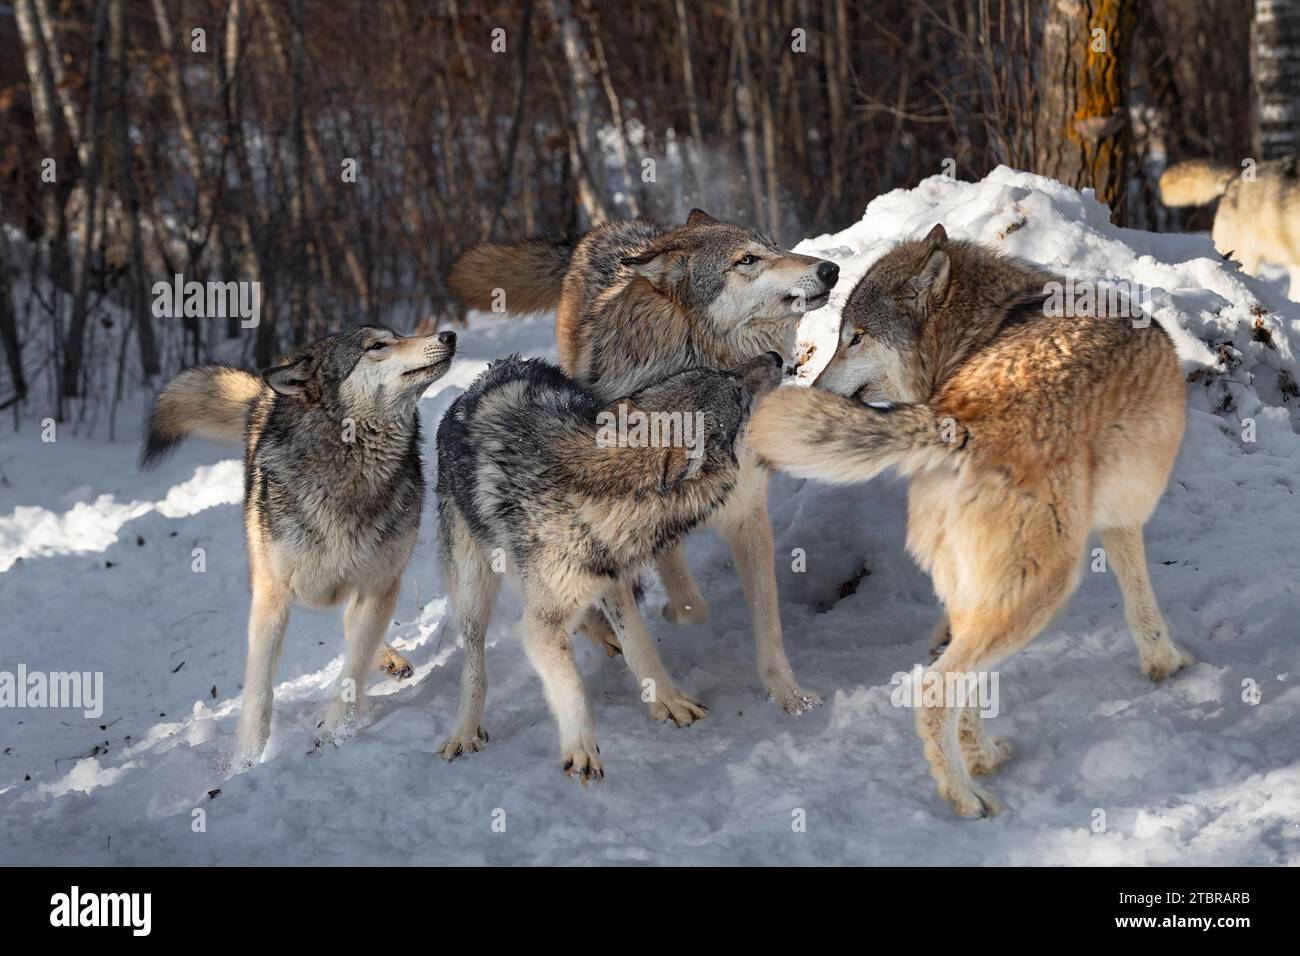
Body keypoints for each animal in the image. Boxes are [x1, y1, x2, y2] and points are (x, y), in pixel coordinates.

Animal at [141, 326, 457, 763]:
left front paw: (336, 733)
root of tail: (273, 382)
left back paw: (388, 660)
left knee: (353, 625)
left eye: (399, 335)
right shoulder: (272, 596)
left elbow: (352, 669)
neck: (348, 474)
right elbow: (260, 688)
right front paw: (246, 758)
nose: (449, 334)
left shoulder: (380, 585)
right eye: (377, 346)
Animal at [435, 352, 782, 779]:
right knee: (474, 663)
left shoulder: (612, 581)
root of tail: (491, 370)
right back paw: (464, 732)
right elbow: (571, 686)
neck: (599, 496)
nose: (776, 357)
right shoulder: (542, 626)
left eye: (727, 376)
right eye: (738, 395)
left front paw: (668, 701)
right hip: (473, 589)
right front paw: (581, 749)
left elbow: (640, 645)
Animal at [448, 209, 838, 713]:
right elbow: (689, 604)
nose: (830, 269)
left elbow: (767, 621)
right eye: (747, 260)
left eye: (774, 245)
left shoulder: (747, 514)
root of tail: (601, 230)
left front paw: (790, 697)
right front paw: (670, 614)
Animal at [747, 225, 1192, 817]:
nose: (810, 386)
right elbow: (1141, 596)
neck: (989, 323)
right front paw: (1168, 663)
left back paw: (982, 760)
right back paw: (965, 798)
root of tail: (957, 420)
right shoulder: (1124, 520)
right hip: (1044, 589)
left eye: (855, 338)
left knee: (964, 684)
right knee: (934, 692)